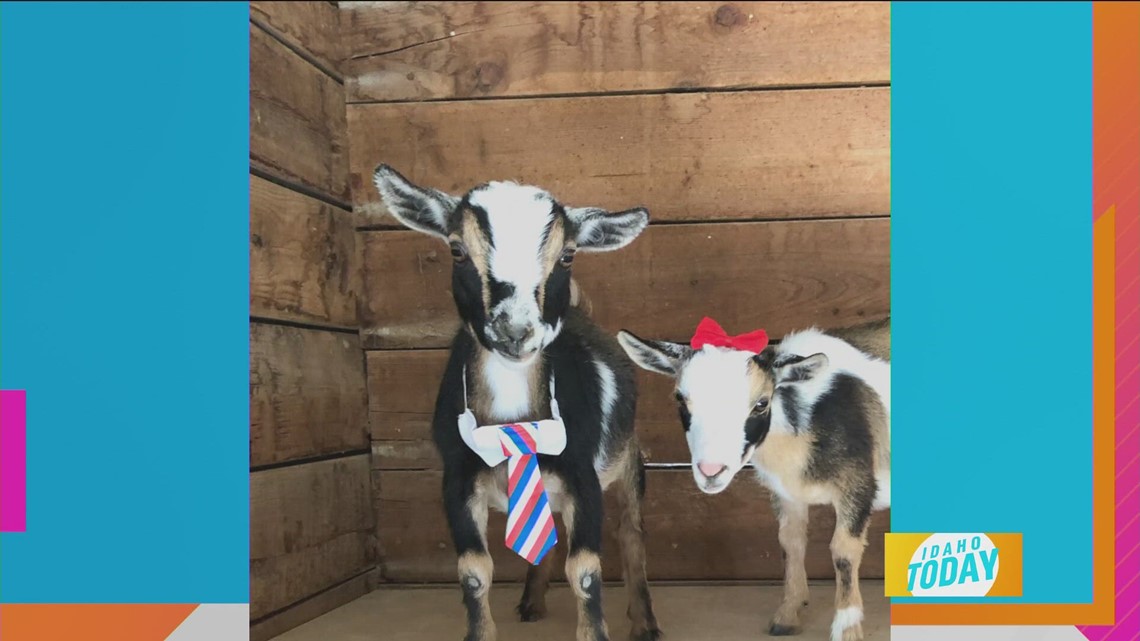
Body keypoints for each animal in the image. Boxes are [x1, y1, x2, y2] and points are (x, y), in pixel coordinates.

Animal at [372, 164, 662, 641]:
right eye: (456, 250)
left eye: (567, 255)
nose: (515, 331)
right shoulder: (457, 479)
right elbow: (474, 571)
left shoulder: (583, 476)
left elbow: (585, 571)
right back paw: (531, 602)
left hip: (629, 462)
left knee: (632, 534)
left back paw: (645, 623)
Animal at [616, 318, 890, 641]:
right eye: (680, 398)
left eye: (761, 403)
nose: (711, 471)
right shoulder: (786, 493)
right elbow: (790, 542)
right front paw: (787, 615)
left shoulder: (858, 485)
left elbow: (843, 552)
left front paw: (847, 630)